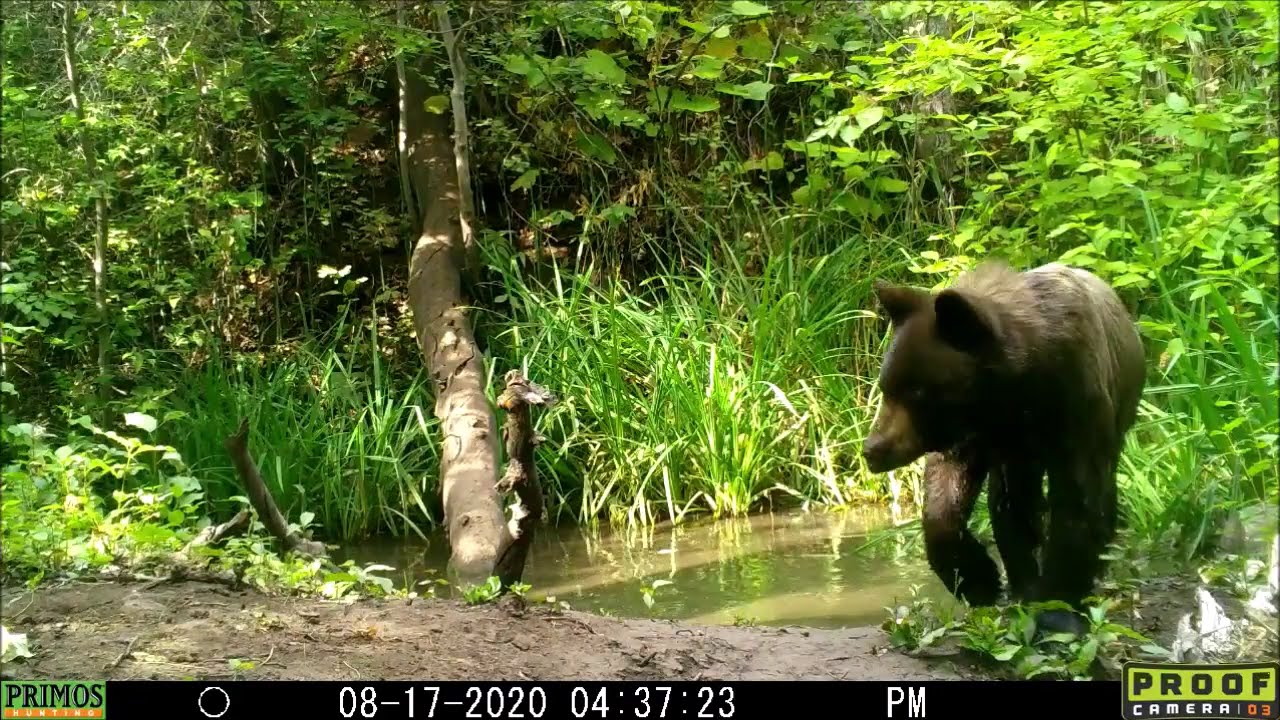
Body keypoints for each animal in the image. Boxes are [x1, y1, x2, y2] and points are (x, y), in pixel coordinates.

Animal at [860, 260, 1146, 636]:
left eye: (917, 391)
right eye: (886, 386)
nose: (872, 448)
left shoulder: (1075, 403)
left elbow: (1077, 499)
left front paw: (1058, 609)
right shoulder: (976, 434)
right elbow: (947, 496)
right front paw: (978, 579)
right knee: (1011, 501)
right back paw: (1021, 582)